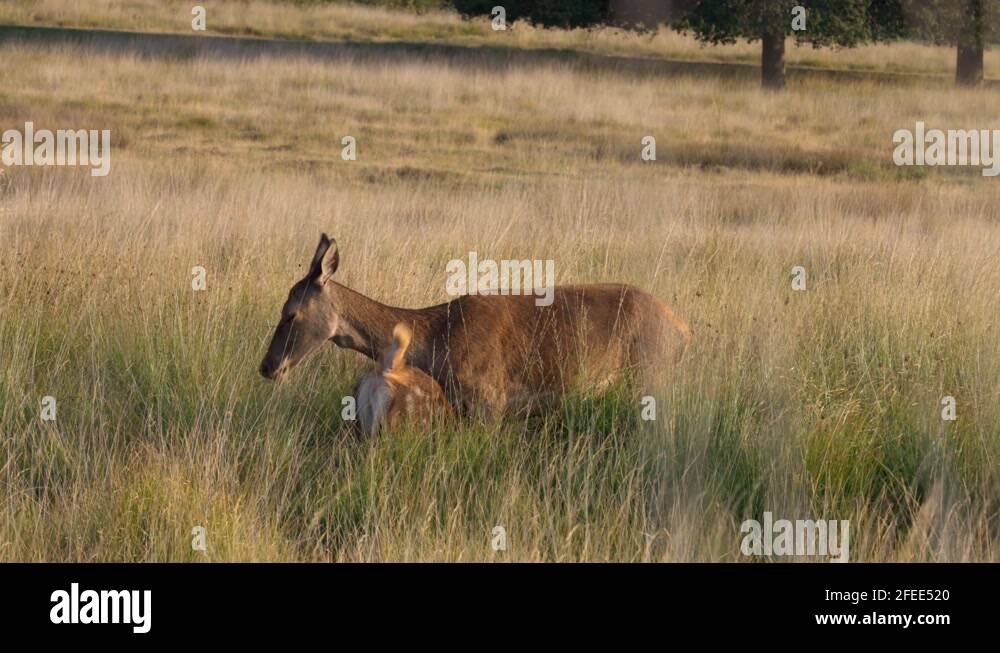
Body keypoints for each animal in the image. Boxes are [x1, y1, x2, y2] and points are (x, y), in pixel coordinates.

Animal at [260, 234, 691, 417]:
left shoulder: (491, 400)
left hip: (649, 375)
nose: (267, 366)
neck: (437, 340)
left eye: (290, 312)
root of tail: (684, 330)